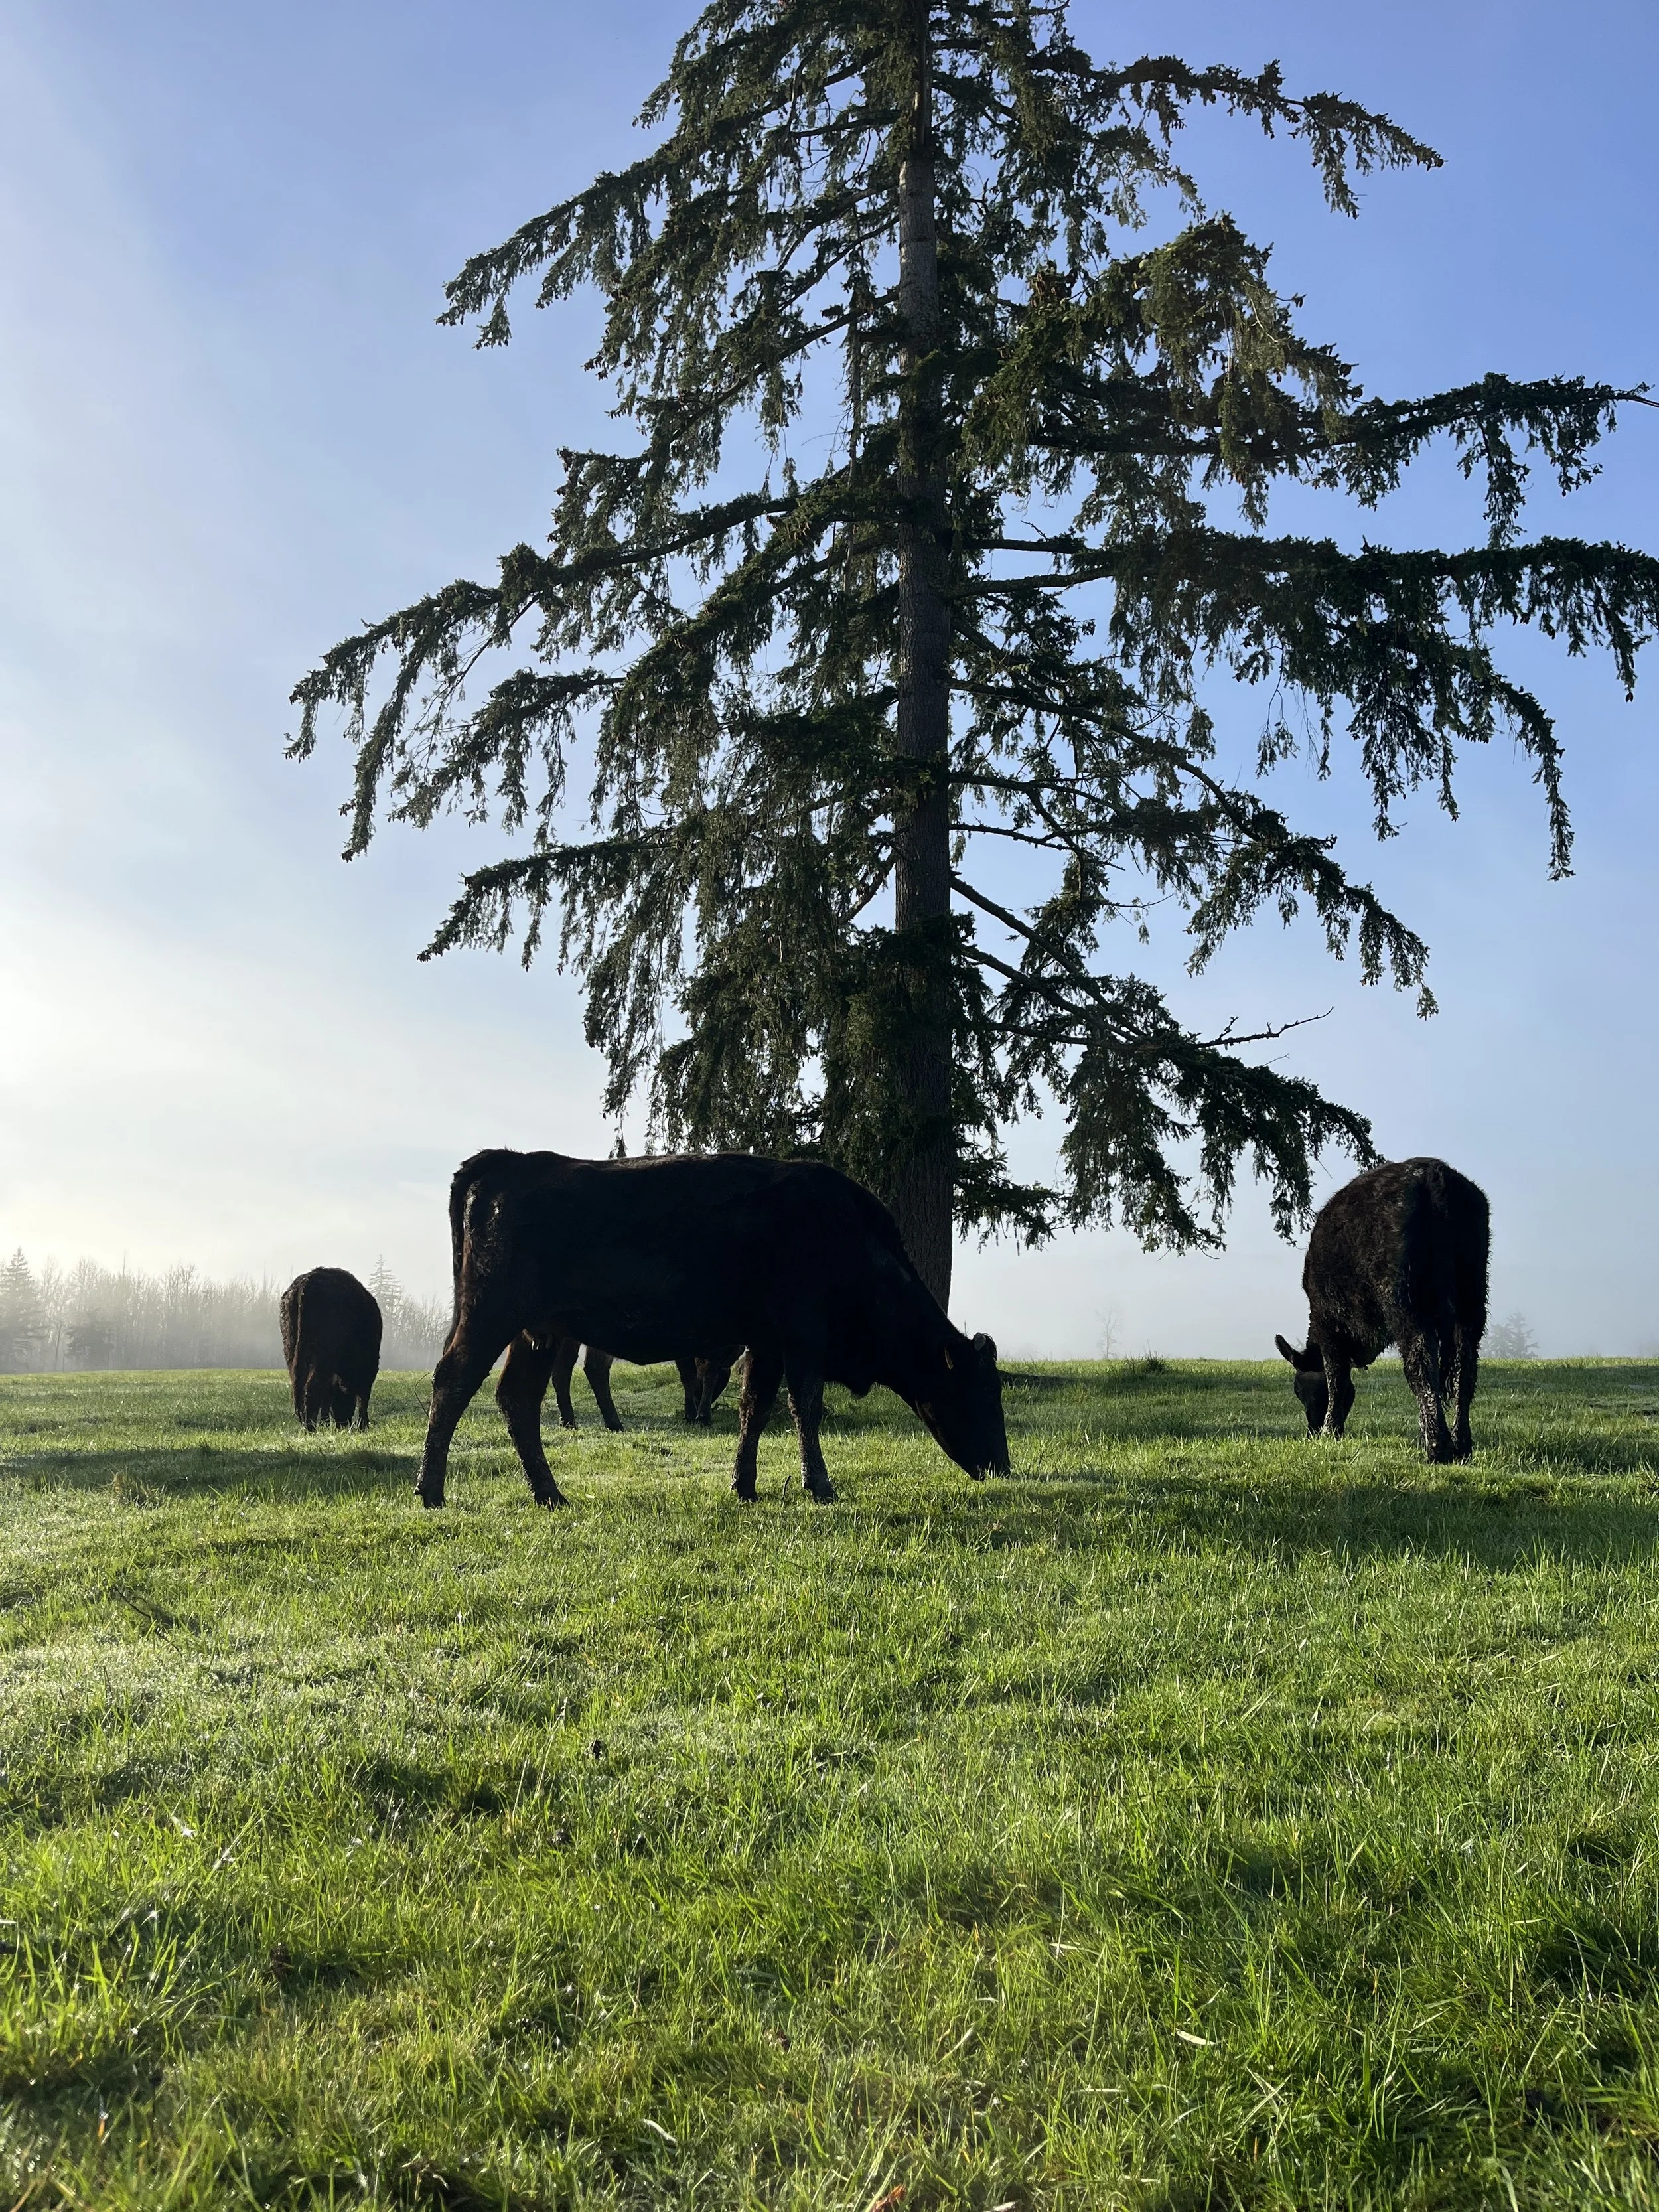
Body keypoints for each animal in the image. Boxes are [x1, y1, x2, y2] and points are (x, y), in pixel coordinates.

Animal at [279, 1267, 382, 1432]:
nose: (343, 1424)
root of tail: (307, 1282)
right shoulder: (369, 1368)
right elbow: (363, 1396)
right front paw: (364, 1425)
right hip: (322, 1358)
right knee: (312, 1387)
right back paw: (310, 1428)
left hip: (291, 1350)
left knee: (299, 1386)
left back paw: (306, 1425)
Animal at [417, 1149, 1010, 1509]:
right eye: (983, 1391)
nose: (1003, 1466)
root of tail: (504, 1161)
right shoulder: (802, 1335)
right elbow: (806, 1405)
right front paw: (819, 1484)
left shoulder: (766, 1342)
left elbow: (757, 1407)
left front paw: (744, 1485)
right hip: (490, 1314)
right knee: (453, 1382)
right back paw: (431, 1491)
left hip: (534, 1332)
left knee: (517, 1397)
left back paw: (550, 1494)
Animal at [1275, 1156, 1489, 1462]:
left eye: (1299, 1389)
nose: (1311, 1432)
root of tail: (1432, 1172)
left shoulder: (1326, 1322)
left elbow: (1336, 1378)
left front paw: (1330, 1432)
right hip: (1473, 1294)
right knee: (1466, 1368)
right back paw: (1462, 1445)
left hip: (1403, 1298)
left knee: (1420, 1363)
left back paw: (1437, 1448)